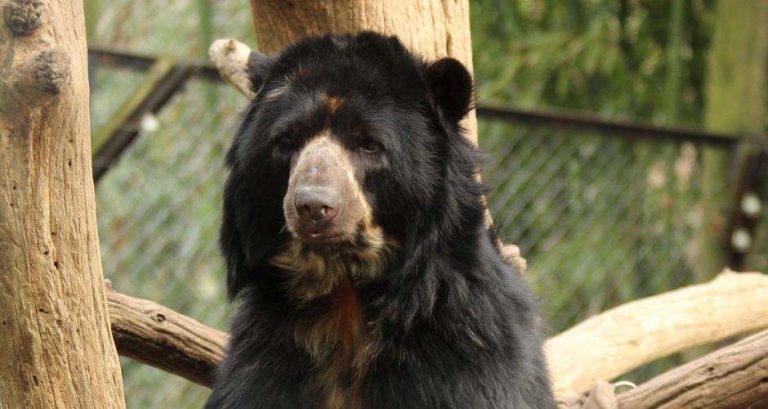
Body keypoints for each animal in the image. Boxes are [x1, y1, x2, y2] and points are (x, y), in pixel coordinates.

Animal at [205, 32, 556, 409]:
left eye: (369, 144)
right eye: (286, 141)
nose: (312, 206)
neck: (344, 287)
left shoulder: (467, 350)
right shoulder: (263, 354)